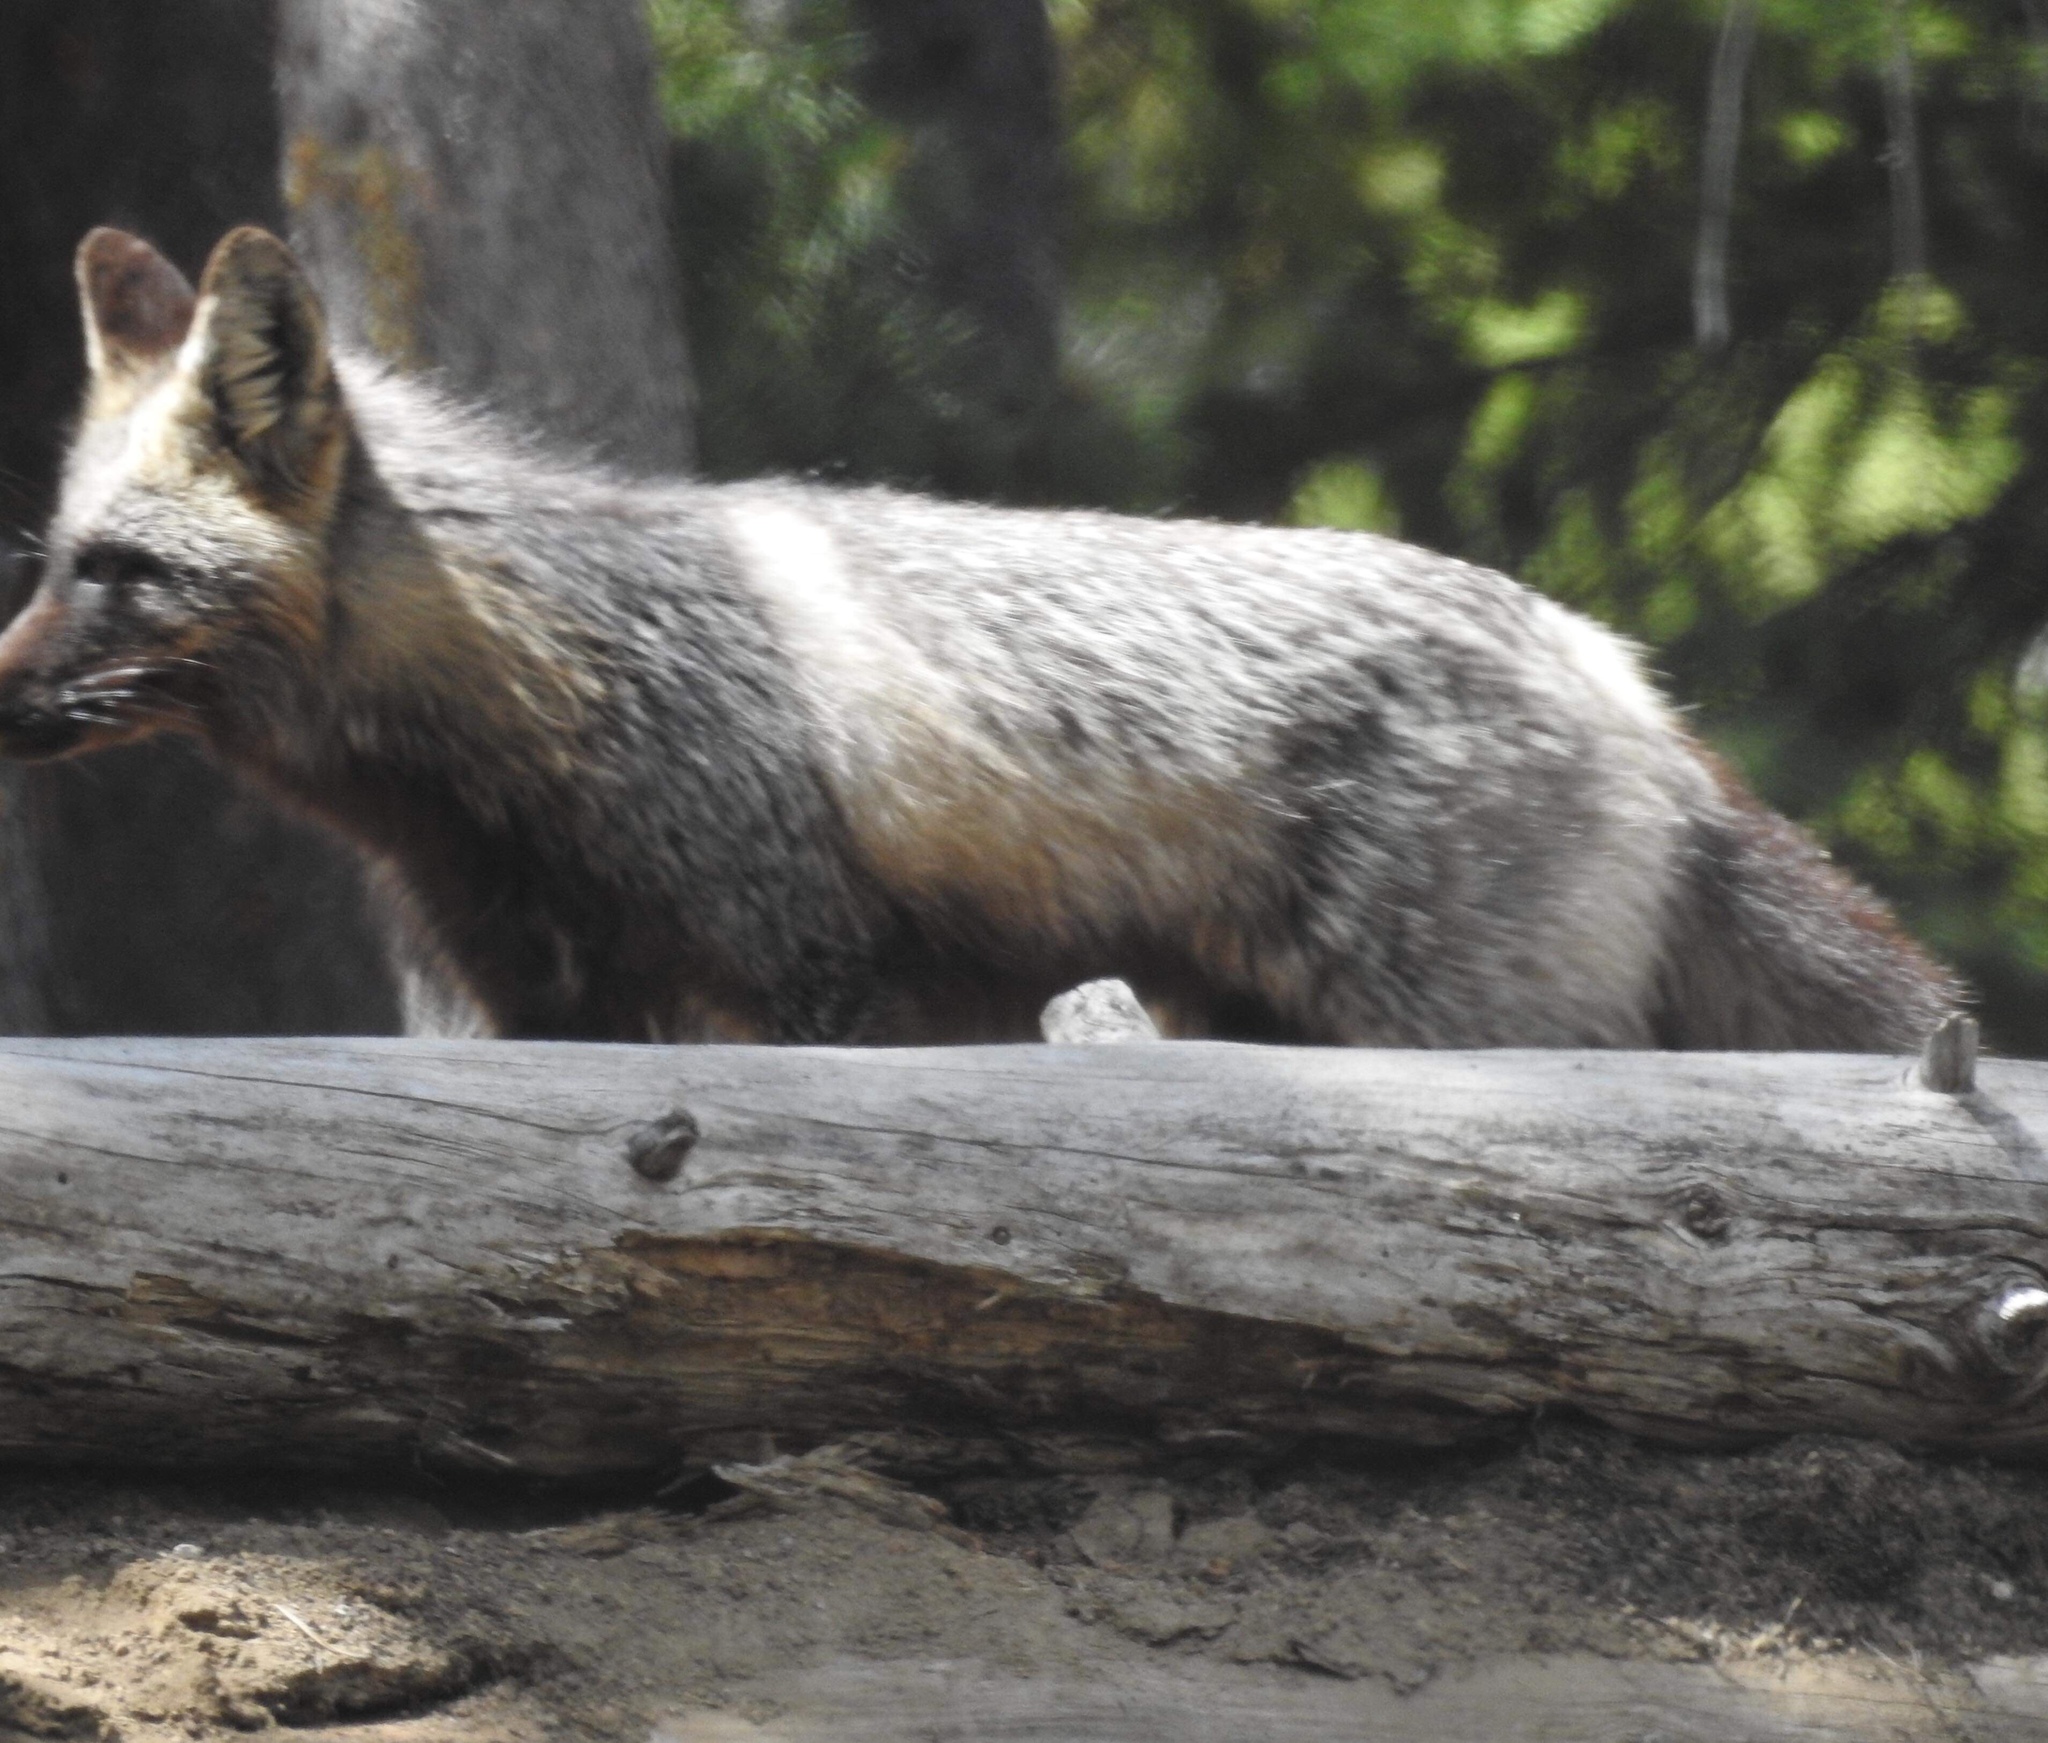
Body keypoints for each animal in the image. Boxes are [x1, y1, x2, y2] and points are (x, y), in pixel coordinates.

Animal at [0, 224, 1956, 1049]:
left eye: (119, 570)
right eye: (54, 560)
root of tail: (1623, 671)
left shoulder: (809, 987)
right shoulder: (555, 1004)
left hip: (1453, 1032)